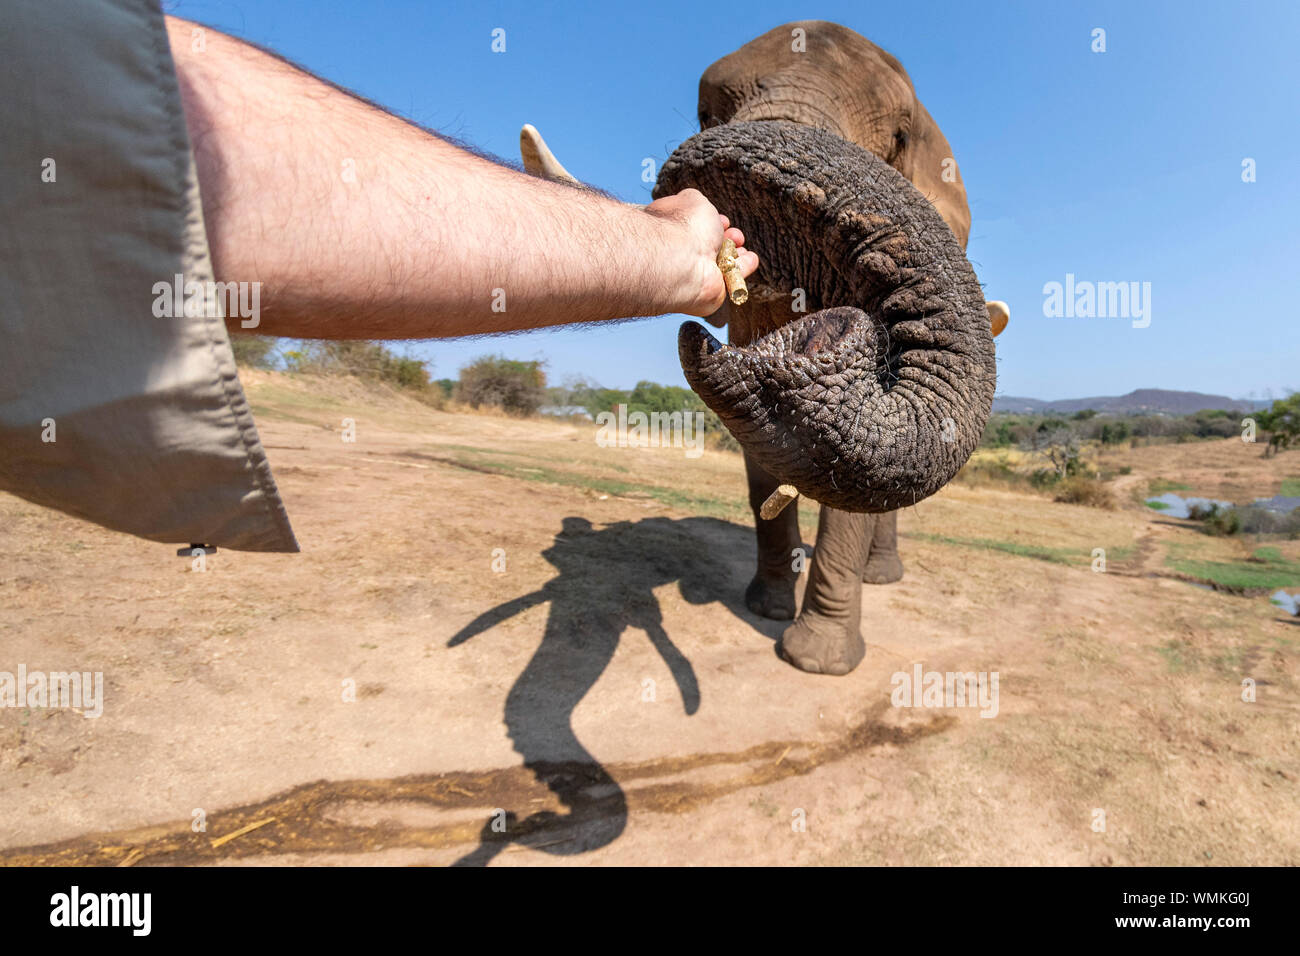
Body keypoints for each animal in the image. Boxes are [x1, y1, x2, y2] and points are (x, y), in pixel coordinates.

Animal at [520, 21, 1006, 676]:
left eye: (900, 138)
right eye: (705, 111)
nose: (843, 328)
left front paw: (816, 662)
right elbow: (762, 451)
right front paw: (767, 610)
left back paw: (881, 577)